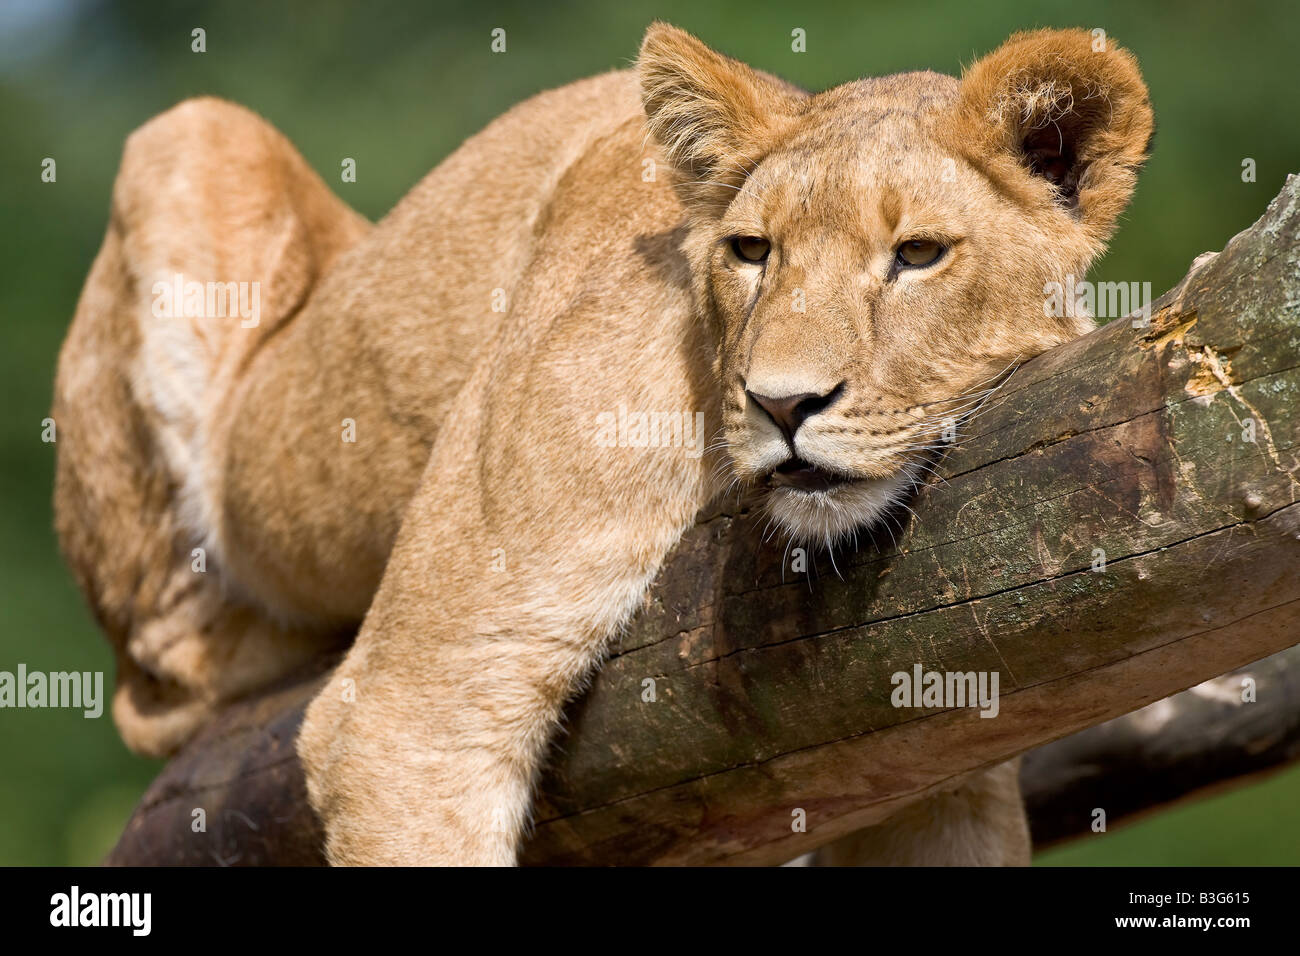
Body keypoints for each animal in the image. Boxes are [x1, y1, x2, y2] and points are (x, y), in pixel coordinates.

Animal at [53, 23, 1152, 865]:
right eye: (752, 251)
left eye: (917, 254)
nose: (783, 403)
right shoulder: (406, 717)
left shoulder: (929, 772)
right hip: (195, 136)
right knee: (157, 679)